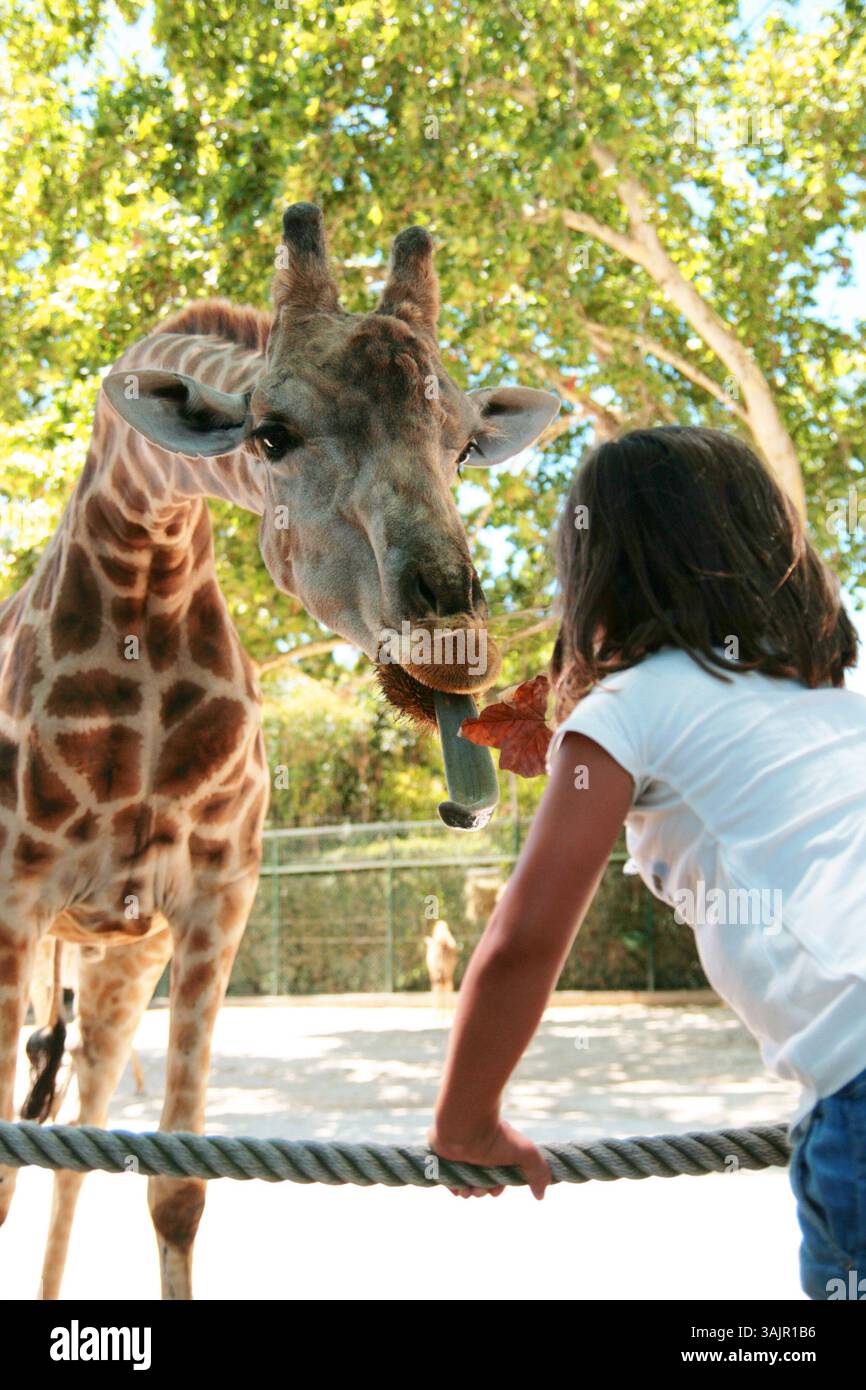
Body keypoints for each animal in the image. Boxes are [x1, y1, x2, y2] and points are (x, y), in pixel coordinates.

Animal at [0, 203, 559, 1299]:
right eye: (270, 434)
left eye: (467, 446)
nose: (454, 646)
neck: (143, 571)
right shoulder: (13, 896)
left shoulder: (213, 901)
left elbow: (176, 1186)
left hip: (117, 958)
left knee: (80, 1131)